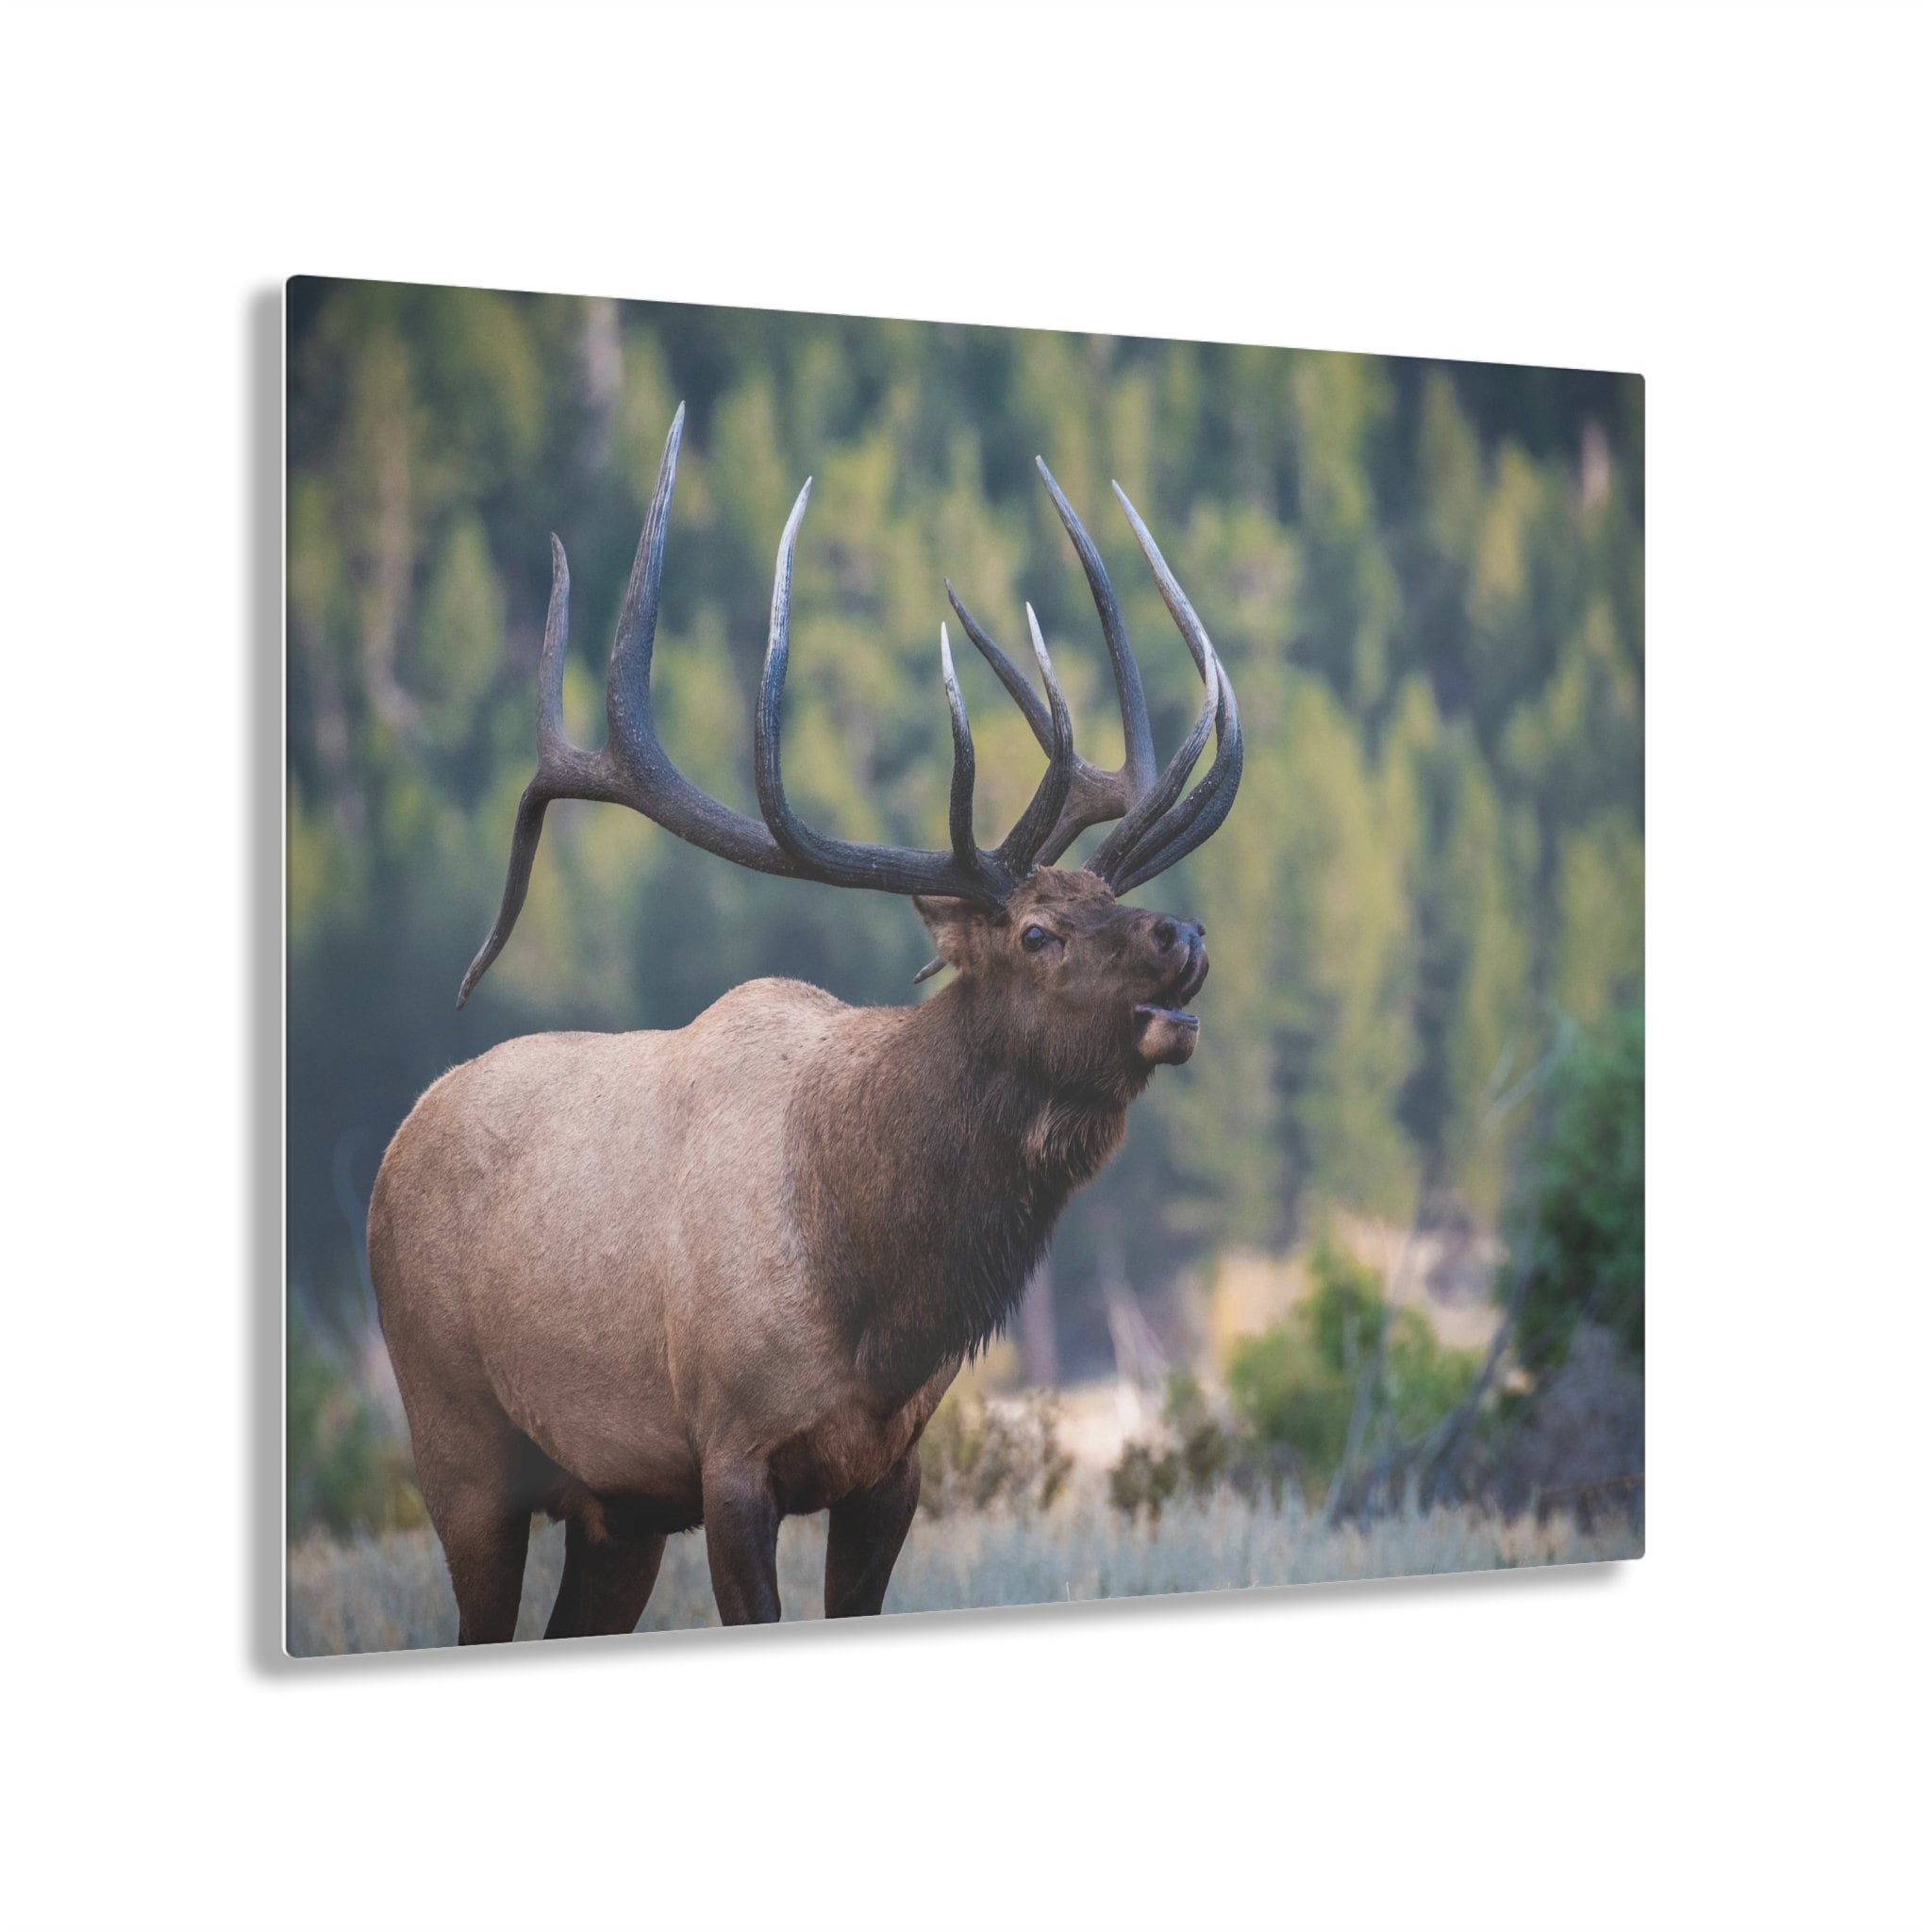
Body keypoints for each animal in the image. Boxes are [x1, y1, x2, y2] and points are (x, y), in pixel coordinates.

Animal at [367, 405, 1243, 1638]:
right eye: (1036, 932)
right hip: (457, 1444)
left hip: (612, 1508)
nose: (1184, 933)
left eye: (1107, 897)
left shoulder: (889, 1466)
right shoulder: (730, 1454)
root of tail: (397, 1140)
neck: (878, 1297)